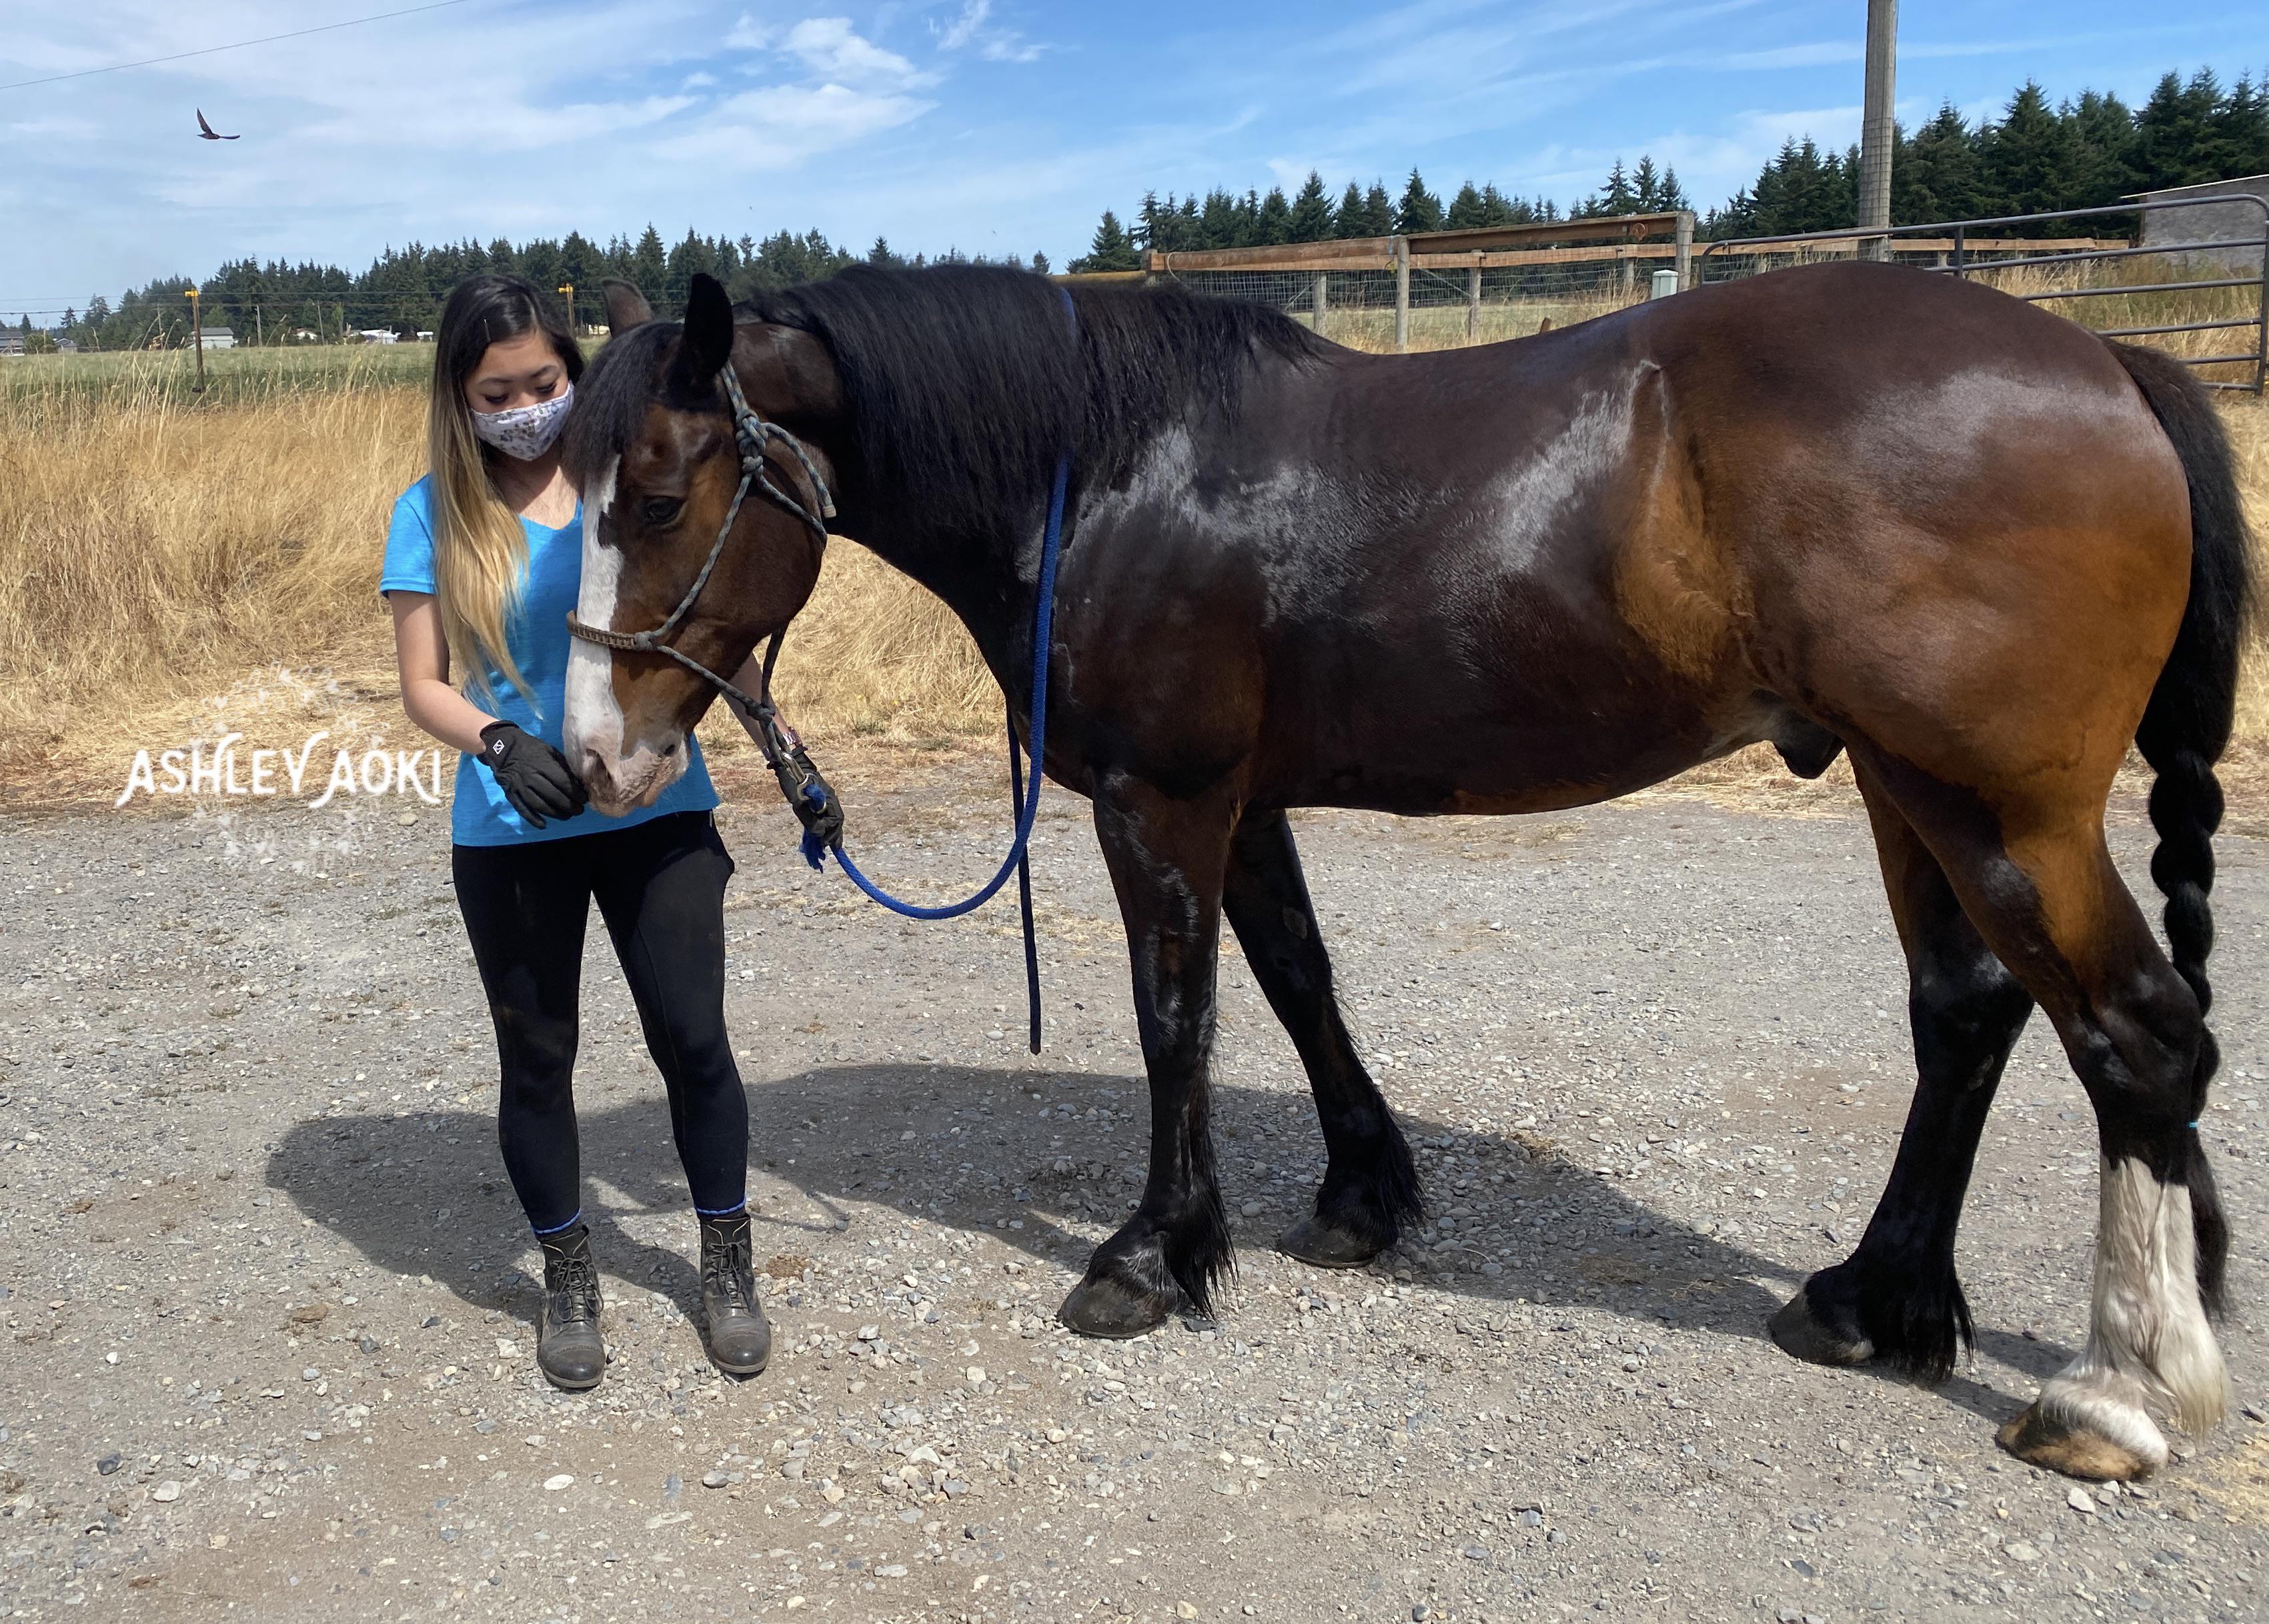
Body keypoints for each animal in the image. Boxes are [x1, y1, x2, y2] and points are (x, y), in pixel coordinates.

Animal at [558, 263, 2250, 1483]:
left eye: (658, 497)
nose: (582, 760)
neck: (1111, 471)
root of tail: (2114, 366)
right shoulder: (1241, 800)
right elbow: (1298, 980)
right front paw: (1361, 1194)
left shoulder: (1163, 798)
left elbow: (1176, 1016)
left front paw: (1151, 1255)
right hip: (1916, 791)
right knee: (1968, 1011)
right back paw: (1872, 1296)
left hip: (1995, 805)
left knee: (2134, 1036)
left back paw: (2124, 1387)